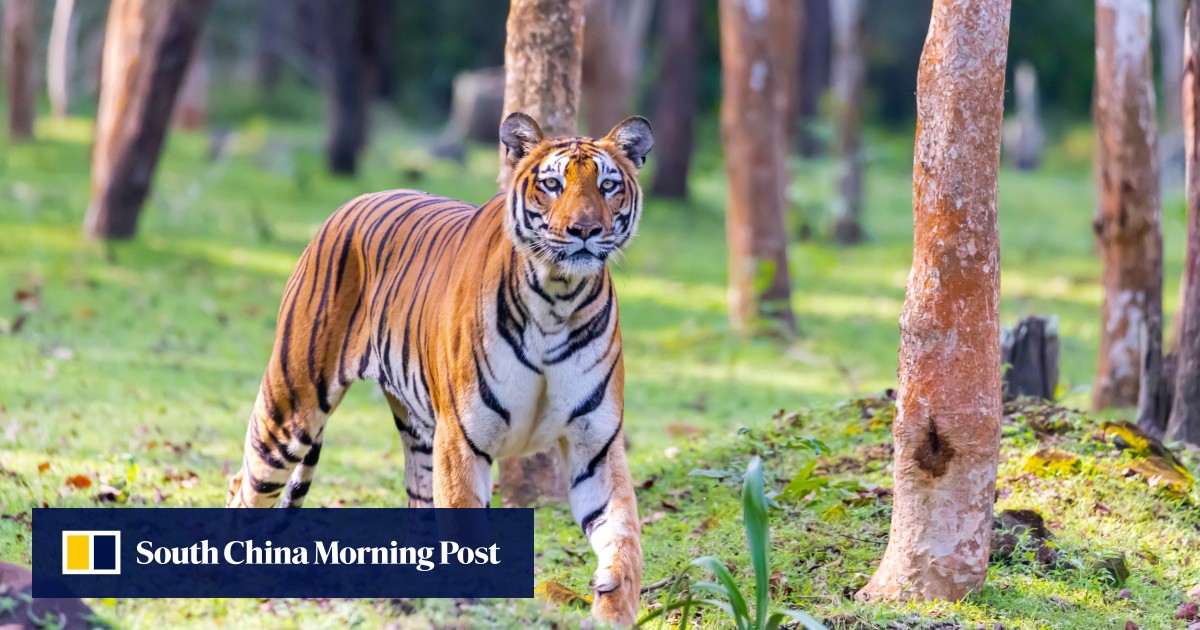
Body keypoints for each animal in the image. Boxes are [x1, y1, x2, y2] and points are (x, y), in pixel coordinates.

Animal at [225, 112, 653, 625]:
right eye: (552, 184)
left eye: (609, 186)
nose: (584, 230)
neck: (558, 298)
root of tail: (352, 202)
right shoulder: (463, 437)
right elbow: (468, 535)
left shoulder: (596, 443)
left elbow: (623, 534)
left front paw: (615, 607)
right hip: (291, 409)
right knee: (244, 486)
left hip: (420, 435)